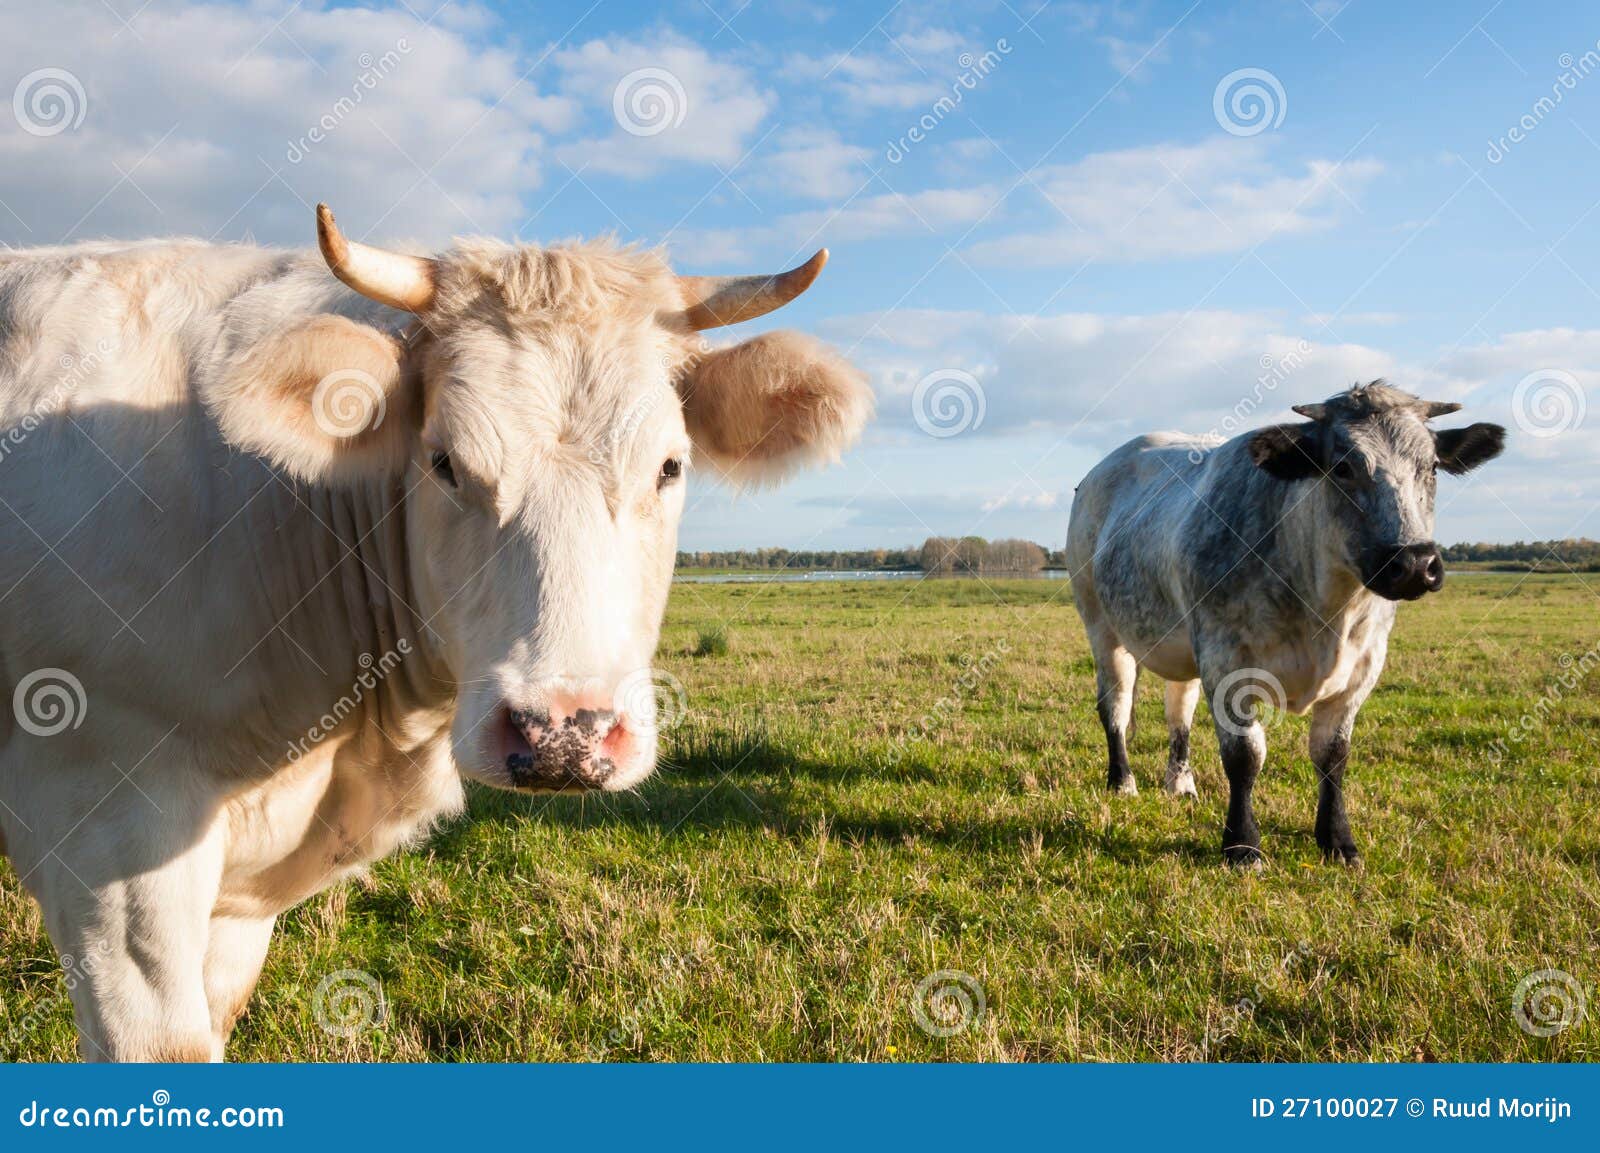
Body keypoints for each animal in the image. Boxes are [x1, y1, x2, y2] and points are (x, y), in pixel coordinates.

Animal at [1065, 382, 1505, 866]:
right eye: (1343, 467)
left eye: (1432, 467)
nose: (1413, 564)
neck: (1327, 612)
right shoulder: (1227, 661)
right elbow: (1244, 756)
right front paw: (1242, 846)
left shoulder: (1363, 668)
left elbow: (1333, 754)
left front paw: (1337, 841)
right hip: (1101, 626)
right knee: (1116, 706)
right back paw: (1122, 781)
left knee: (1178, 710)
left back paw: (1180, 784)